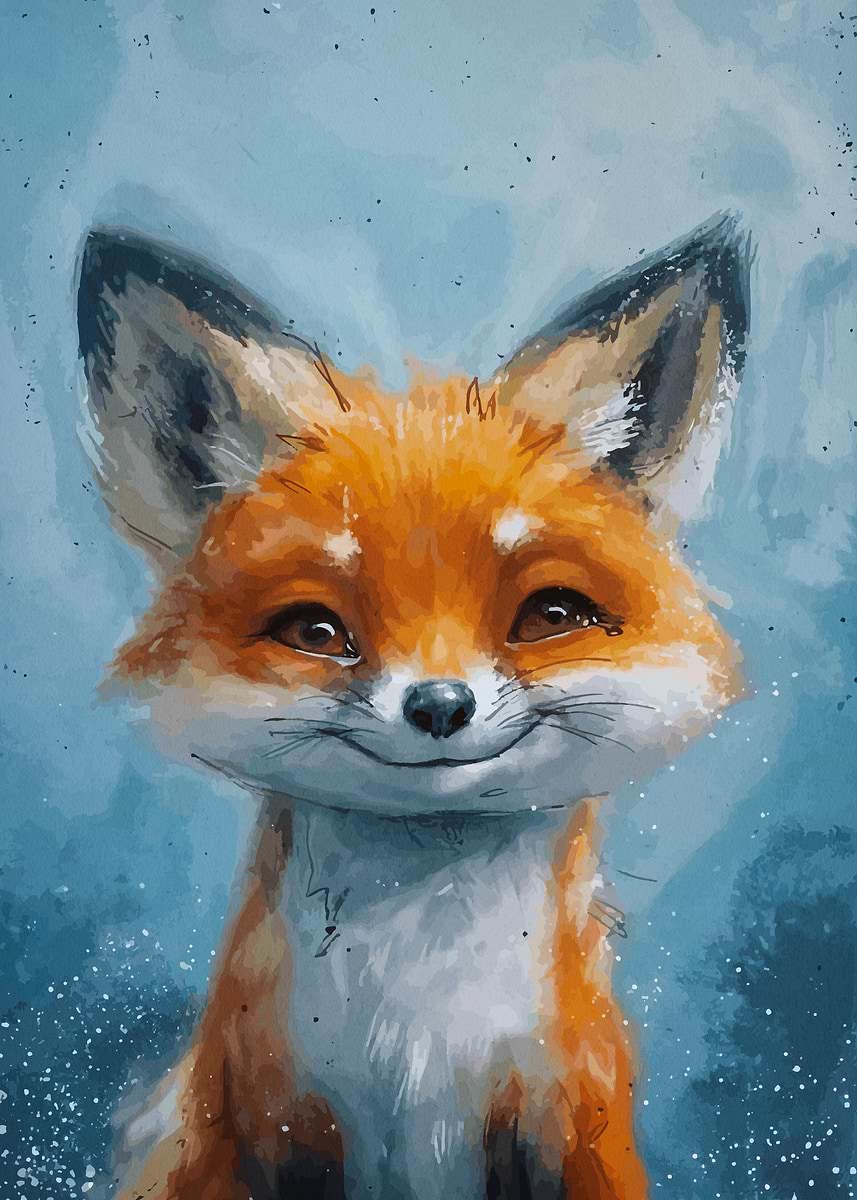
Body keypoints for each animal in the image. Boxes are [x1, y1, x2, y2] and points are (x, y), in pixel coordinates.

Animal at [76, 214, 749, 1200]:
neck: (418, 1040)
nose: (439, 705)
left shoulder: (570, 1124)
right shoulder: (259, 1121)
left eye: (548, 616)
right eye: (316, 630)